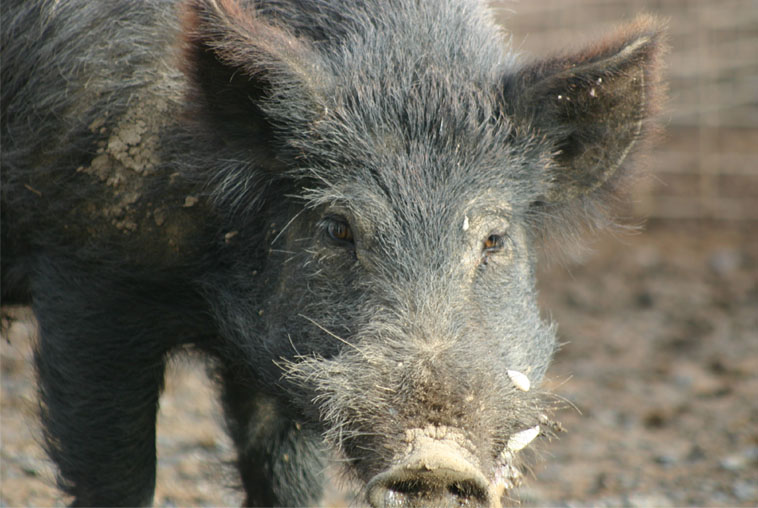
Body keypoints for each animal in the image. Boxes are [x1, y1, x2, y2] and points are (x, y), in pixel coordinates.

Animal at [0, 0, 665, 506]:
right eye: (338, 229)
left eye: (493, 240)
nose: (434, 458)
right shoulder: (88, 272)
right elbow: (117, 470)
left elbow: (285, 474)